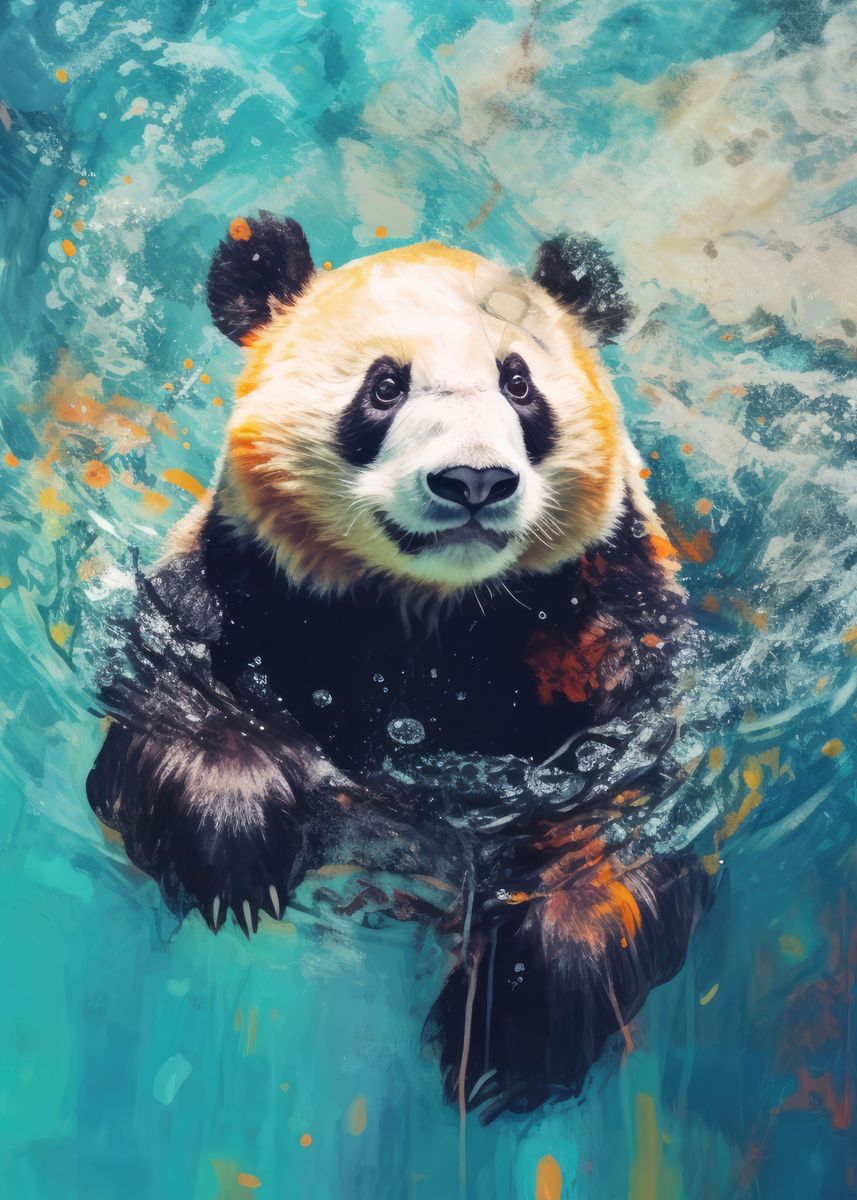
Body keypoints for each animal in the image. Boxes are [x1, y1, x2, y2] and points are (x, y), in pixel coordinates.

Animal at [88, 214, 711, 1121]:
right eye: (384, 387)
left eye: (518, 384)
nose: (474, 481)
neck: (434, 610)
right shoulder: (234, 589)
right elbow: (176, 705)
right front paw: (233, 837)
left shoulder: (608, 623)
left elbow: (623, 806)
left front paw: (522, 1022)